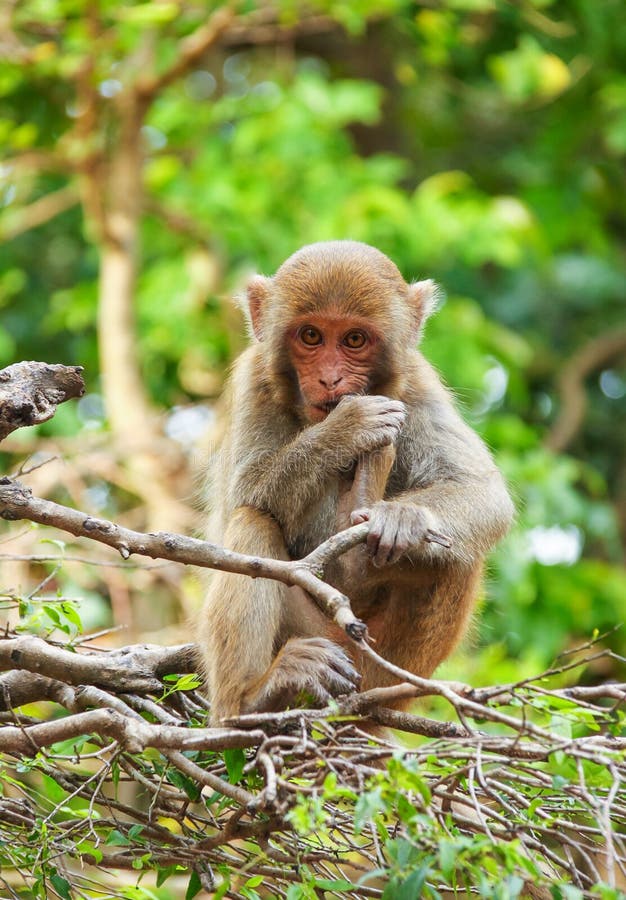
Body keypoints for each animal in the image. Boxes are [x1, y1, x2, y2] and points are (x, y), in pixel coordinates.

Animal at [200, 240, 514, 723]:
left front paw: (403, 517)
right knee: (252, 522)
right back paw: (250, 699)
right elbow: (246, 492)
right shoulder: (254, 378)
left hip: (392, 667)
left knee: (455, 553)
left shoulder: (417, 383)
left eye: (354, 340)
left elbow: (482, 492)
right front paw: (347, 429)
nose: (330, 378)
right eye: (311, 336)